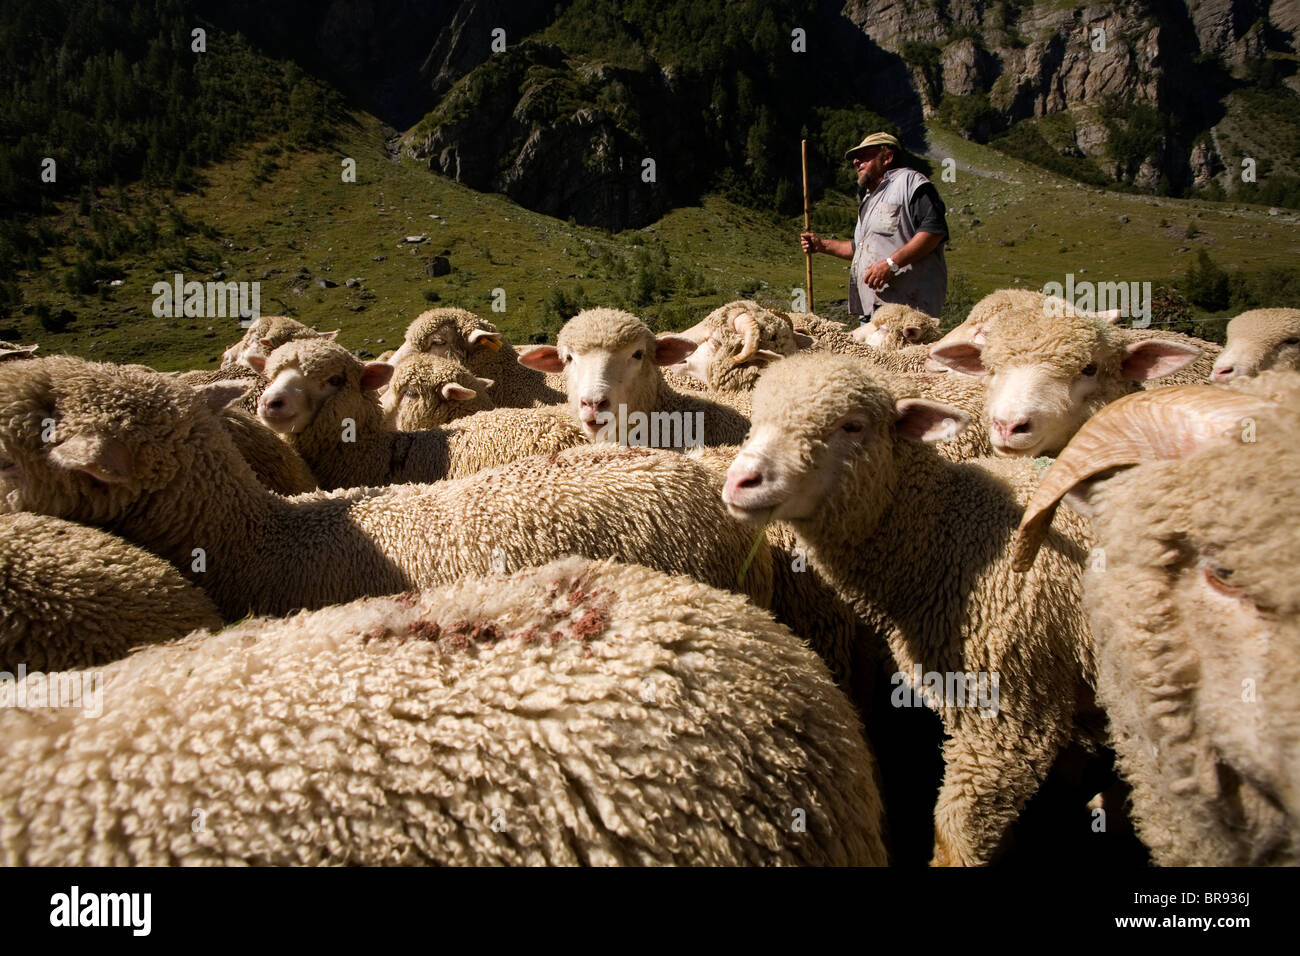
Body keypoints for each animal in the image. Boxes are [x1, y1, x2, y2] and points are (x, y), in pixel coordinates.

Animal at [721, 352, 1098, 866]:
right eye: (756, 419)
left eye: (853, 426)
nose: (740, 481)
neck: (945, 535)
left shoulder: (1010, 720)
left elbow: (955, 839)